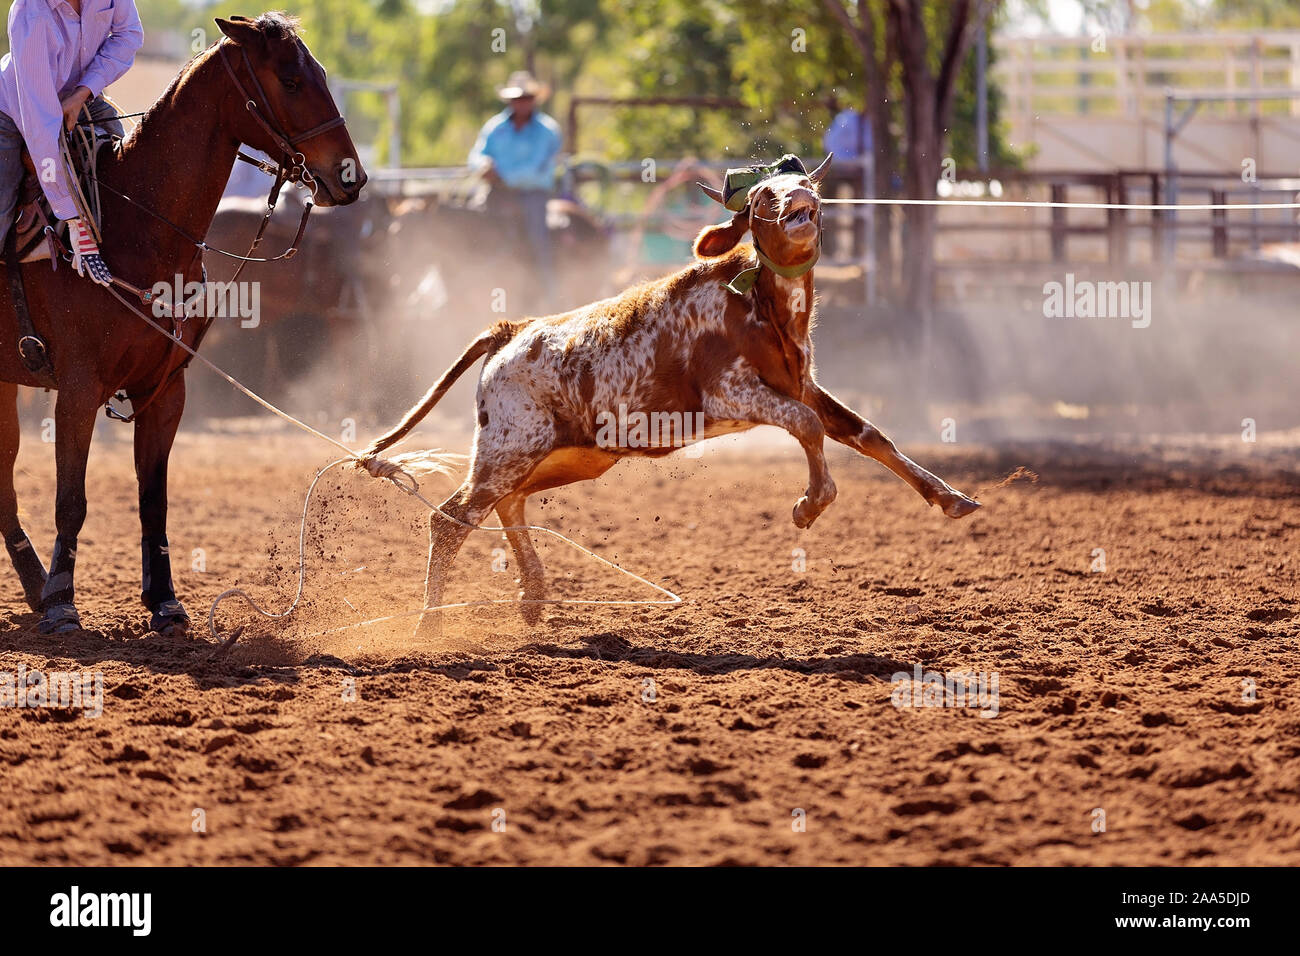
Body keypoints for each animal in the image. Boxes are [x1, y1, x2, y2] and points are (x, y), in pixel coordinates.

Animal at [359, 154, 980, 637]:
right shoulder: (731, 396)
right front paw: (810, 502)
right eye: (763, 196)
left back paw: (532, 596)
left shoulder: (803, 384)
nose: (799, 199)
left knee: (507, 504)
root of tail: (513, 330)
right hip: (510, 446)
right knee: (452, 519)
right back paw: (430, 627)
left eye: (805, 180)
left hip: (569, 454)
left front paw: (949, 497)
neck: (760, 307)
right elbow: (805, 425)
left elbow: (867, 434)